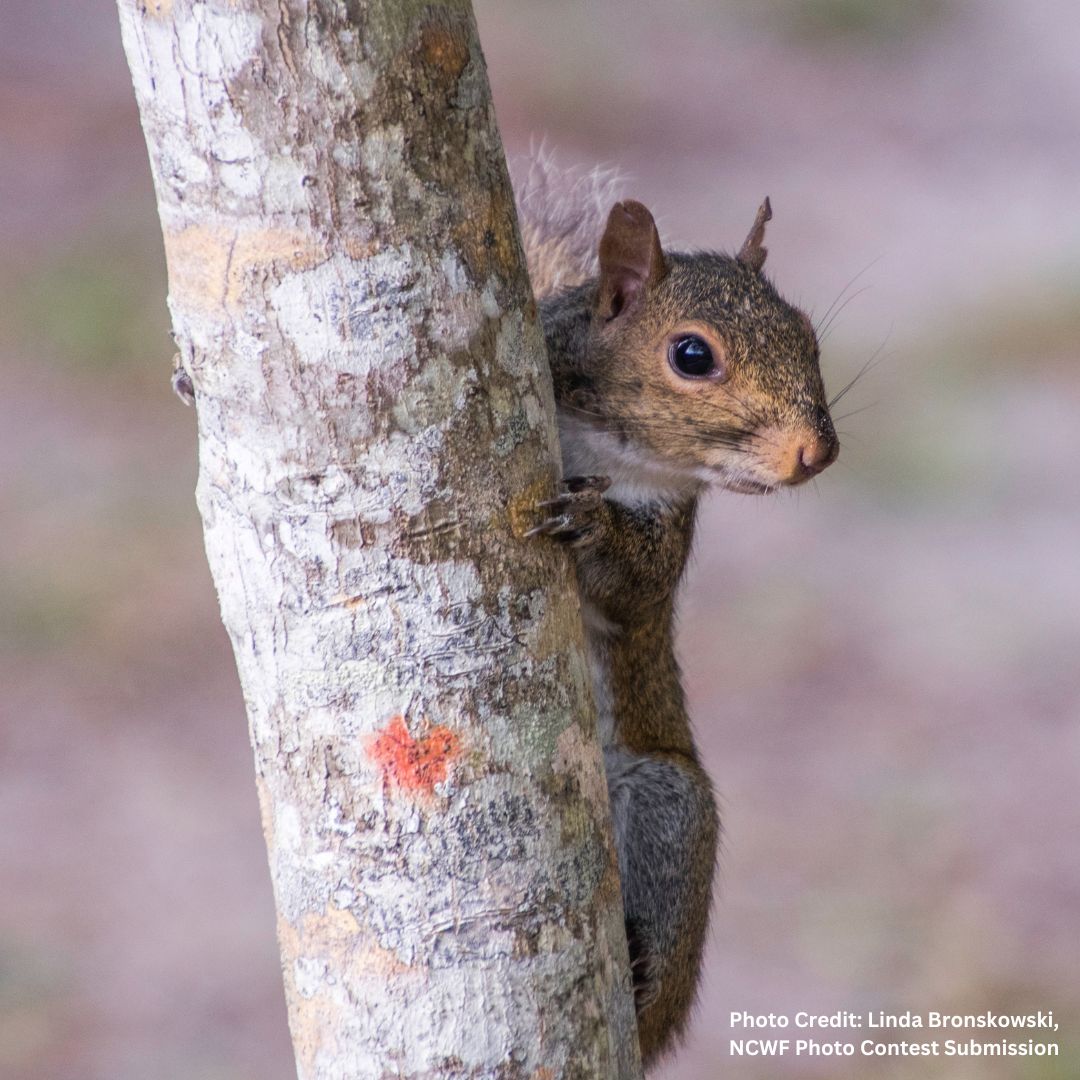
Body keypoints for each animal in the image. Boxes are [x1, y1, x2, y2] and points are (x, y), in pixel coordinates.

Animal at [518, 155, 838, 1069]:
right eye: (692, 355)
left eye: (808, 335)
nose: (818, 452)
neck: (597, 437)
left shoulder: (667, 528)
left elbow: (634, 586)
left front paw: (590, 522)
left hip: (669, 804)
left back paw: (636, 973)